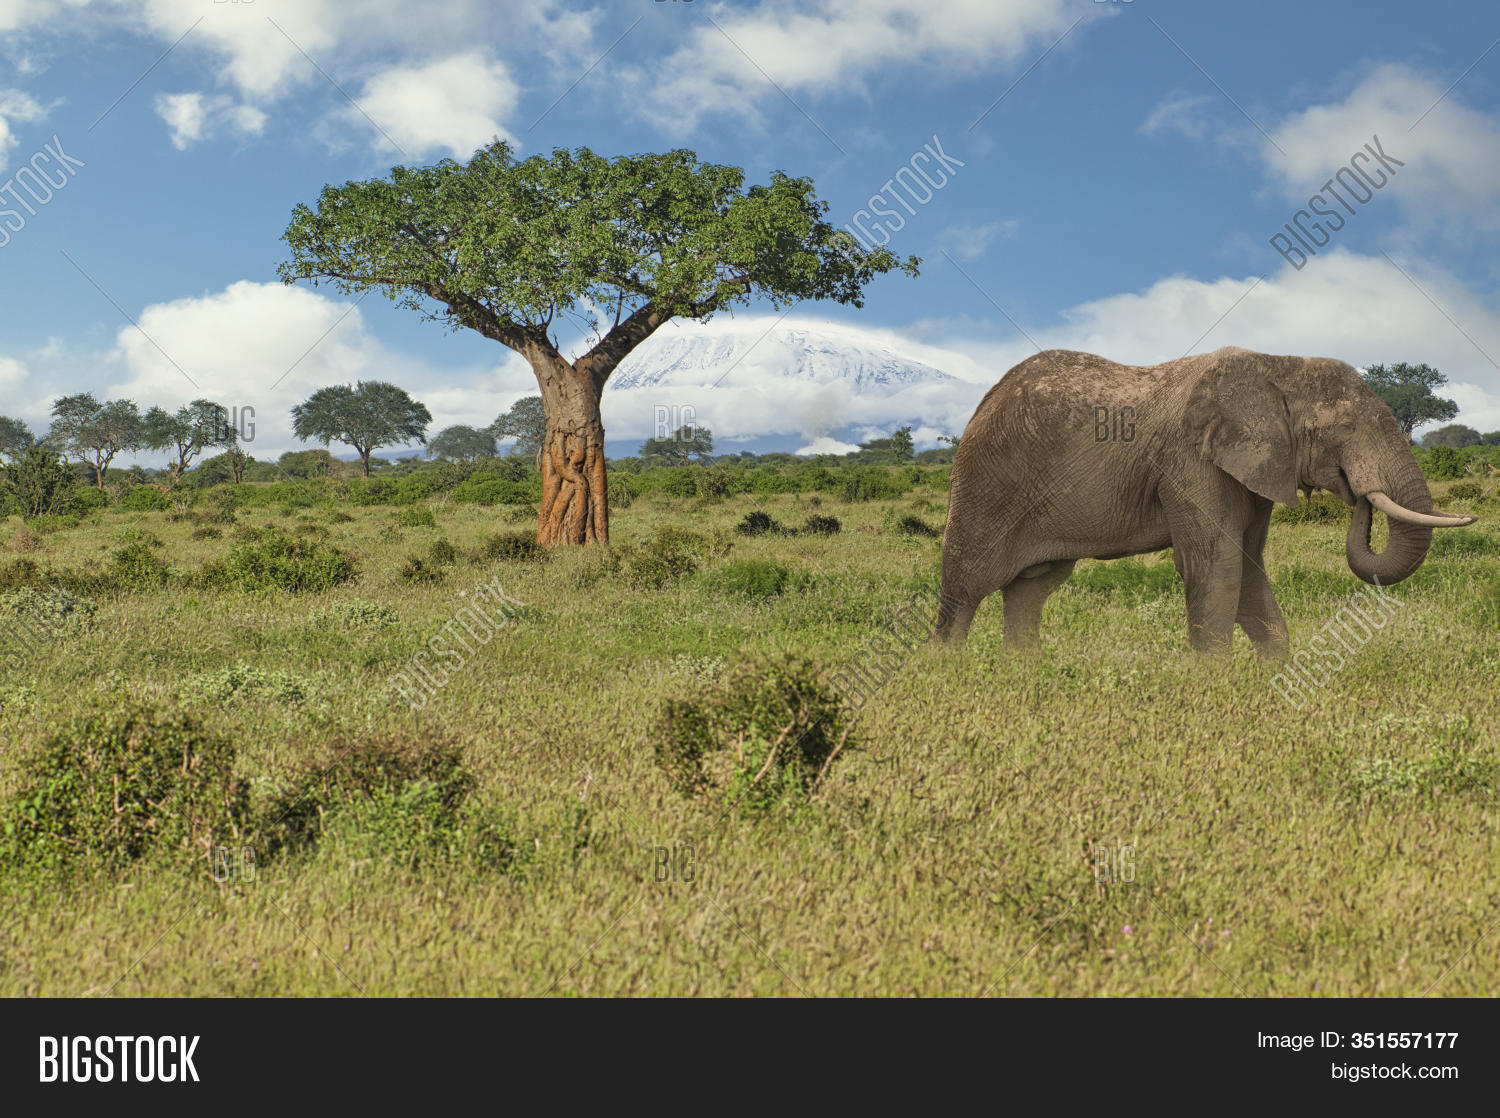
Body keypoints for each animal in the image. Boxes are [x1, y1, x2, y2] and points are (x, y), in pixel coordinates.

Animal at [934, 346, 1478, 654]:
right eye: (1344, 428)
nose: (1358, 492)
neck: (1277, 365)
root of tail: (984, 401)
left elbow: (1249, 568)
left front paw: (1273, 678)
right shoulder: (1191, 461)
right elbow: (1216, 567)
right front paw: (1212, 684)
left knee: (1033, 588)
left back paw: (1023, 671)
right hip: (986, 480)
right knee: (966, 586)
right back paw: (949, 673)